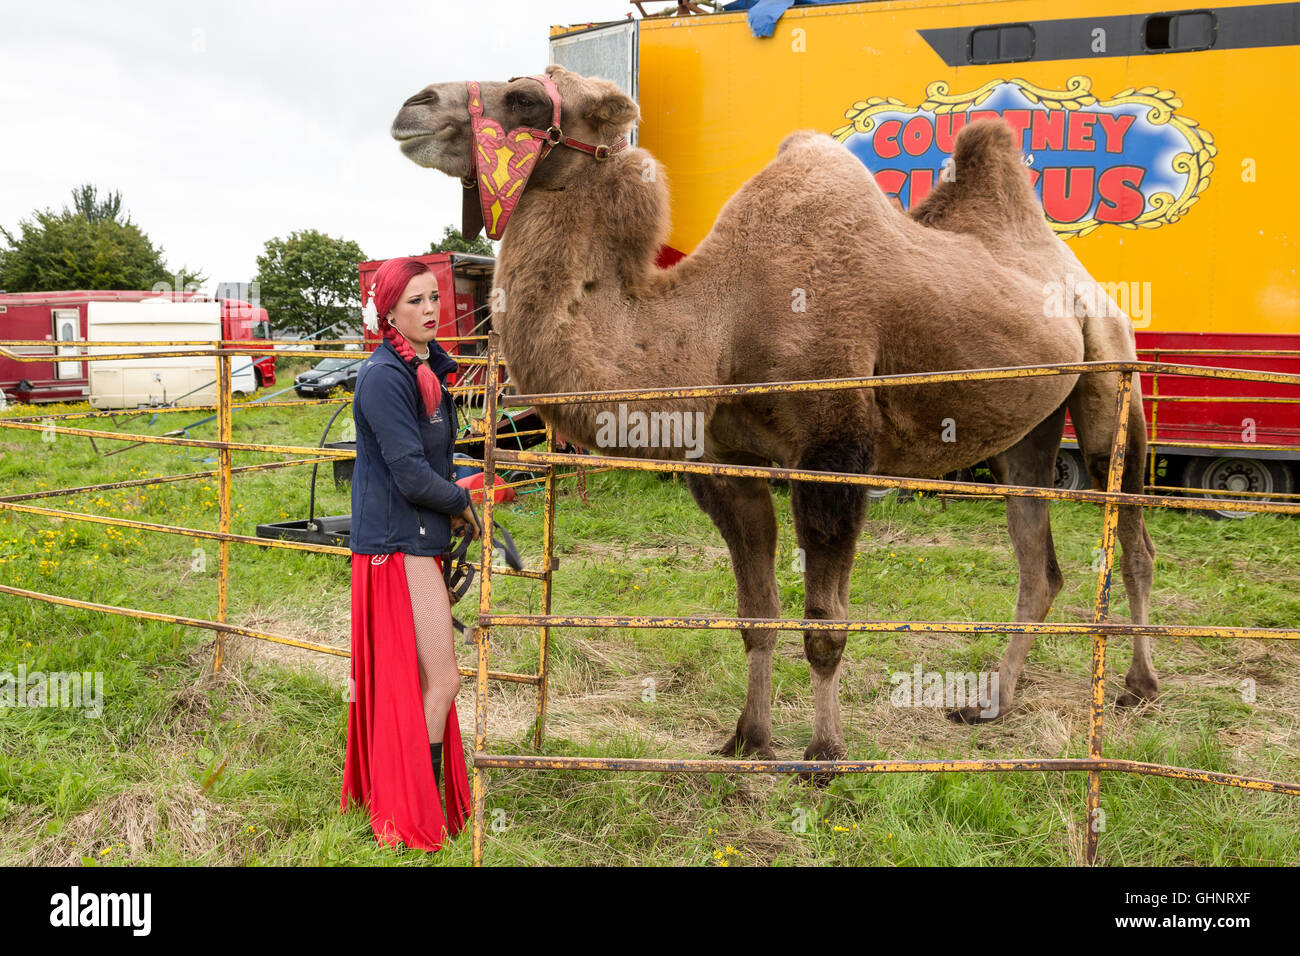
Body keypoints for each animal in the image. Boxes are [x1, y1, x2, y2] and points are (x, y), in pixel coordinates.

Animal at [390, 66, 1157, 763]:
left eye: (523, 96)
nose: (412, 105)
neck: (715, 325)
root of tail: (1078, 278)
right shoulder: (729, 465)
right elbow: (755, 612)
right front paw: (748, 740)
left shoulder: (834, 452)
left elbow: (824, 620)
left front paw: (824, 753)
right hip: (1027, 431)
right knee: (1038, 566)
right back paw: (991, 704)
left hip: (1112, 374)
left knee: (1131, 534)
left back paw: (1138, 687)